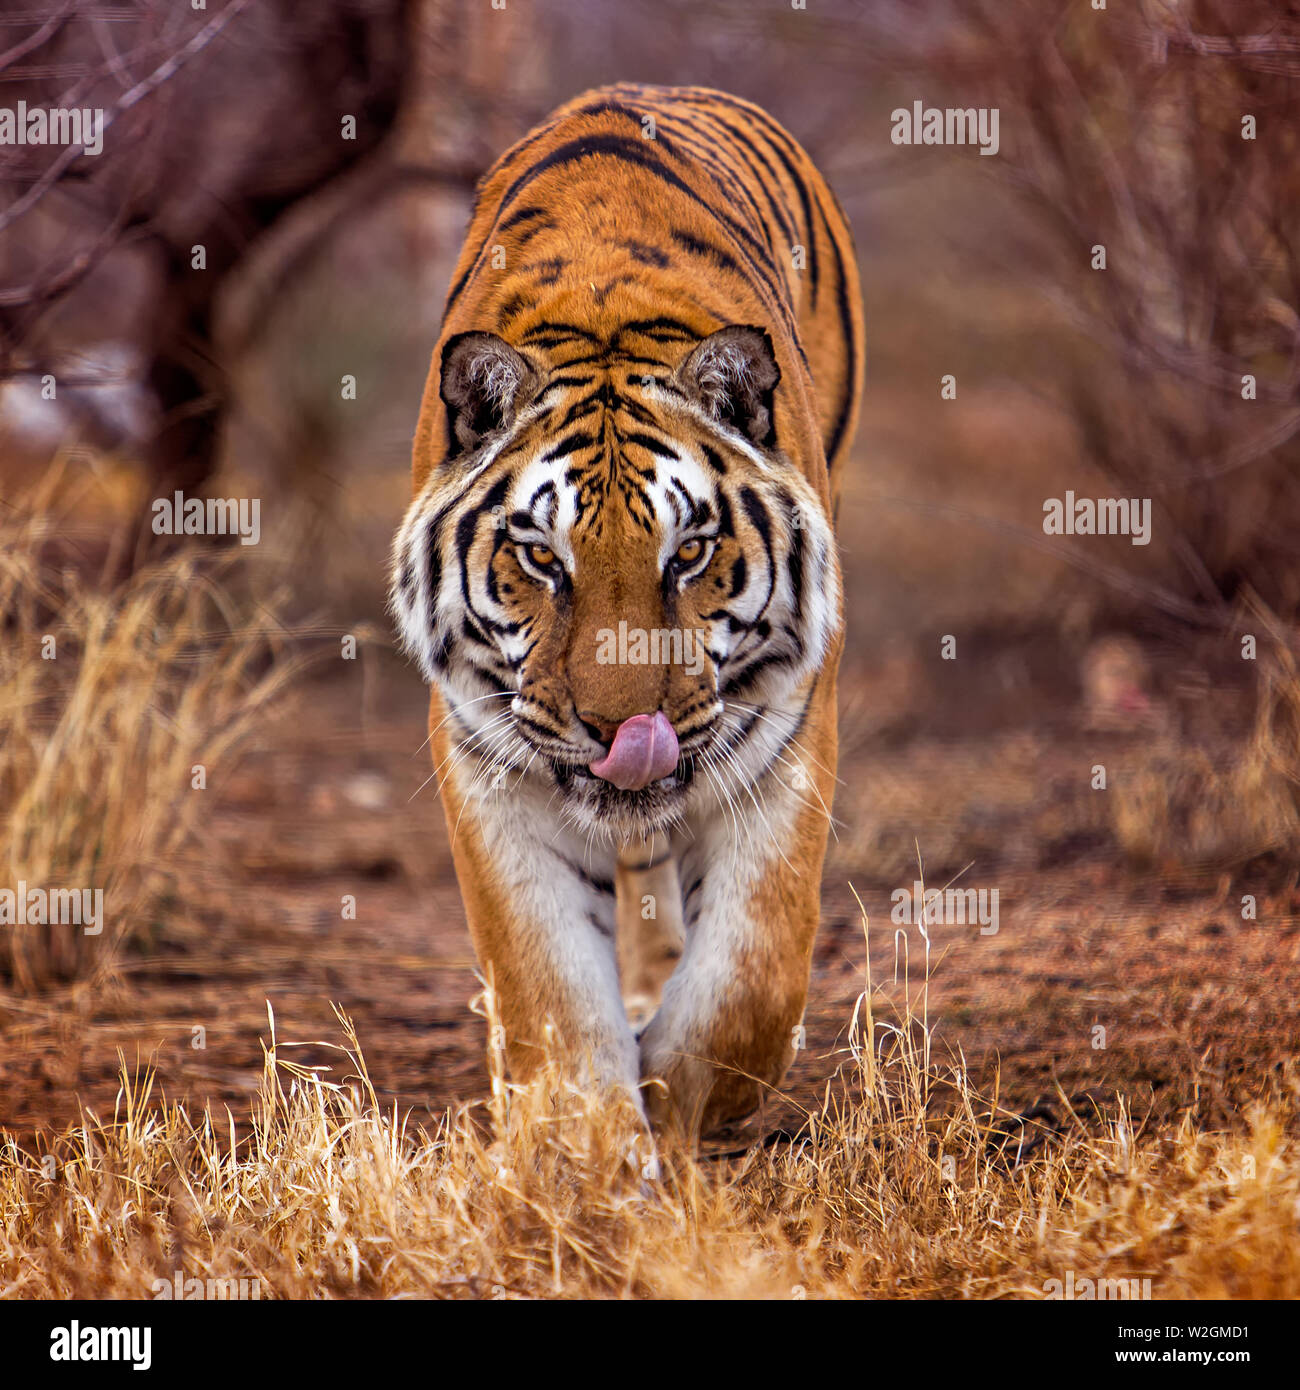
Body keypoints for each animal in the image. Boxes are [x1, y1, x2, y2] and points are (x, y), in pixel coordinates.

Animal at [390, 82, 864, 1144]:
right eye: (541, 557)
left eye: (687, 555)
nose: (622, 731)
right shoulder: (486, 752)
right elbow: (548, 990)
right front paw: (586, 1153)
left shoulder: (786, 731)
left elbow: (752, 975)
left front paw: (678, 1108)